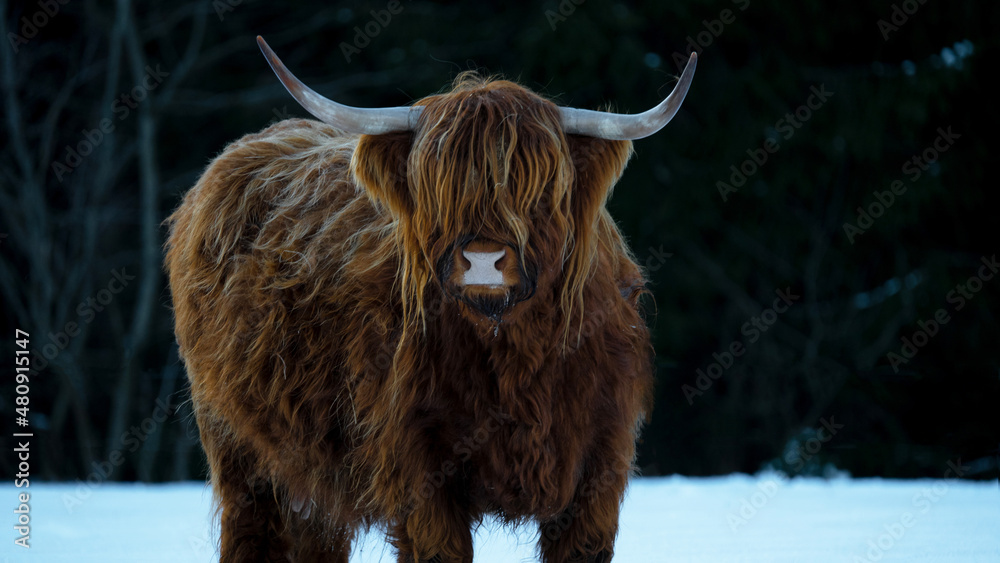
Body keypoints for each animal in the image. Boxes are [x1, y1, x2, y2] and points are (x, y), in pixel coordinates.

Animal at [165, 36, 695, 563]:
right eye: (440, 187)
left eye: (540, 187)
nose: (483, 260)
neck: (512, 353)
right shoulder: (418, 467)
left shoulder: (598, 465)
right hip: (237, 445)